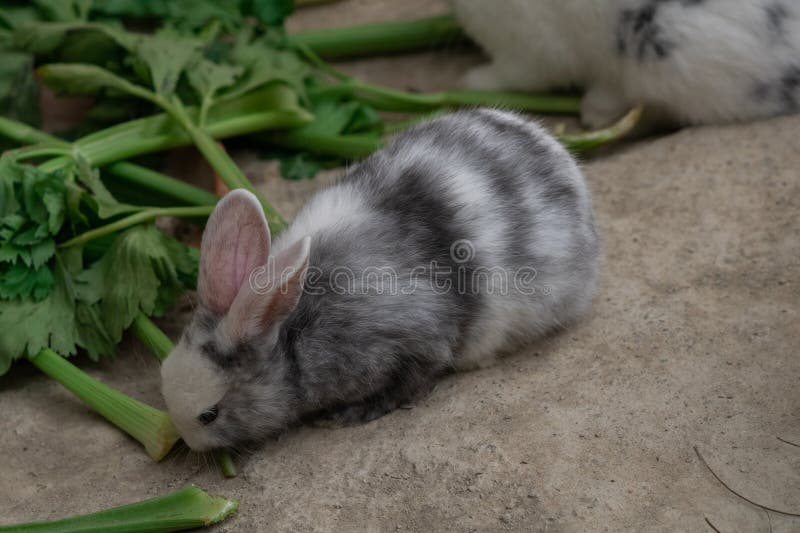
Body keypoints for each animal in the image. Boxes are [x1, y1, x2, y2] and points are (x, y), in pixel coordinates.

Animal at [160, 109, 600, 452]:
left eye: (209, 415)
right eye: (162, 371)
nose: (186, 441)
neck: (289, 334)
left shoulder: (411, 339)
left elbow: (411, 380)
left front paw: (351, 414)